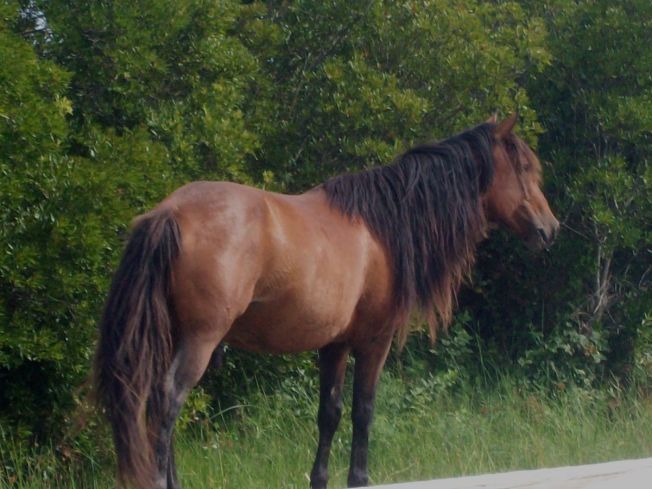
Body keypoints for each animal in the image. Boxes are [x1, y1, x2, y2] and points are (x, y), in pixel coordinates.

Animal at [94, 113, 559, 489]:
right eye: (522, 167)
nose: (550, 228)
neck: (381, 227)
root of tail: (169, 213)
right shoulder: (374, 342)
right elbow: (363, 411)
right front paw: (359, 478)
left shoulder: (334, 344)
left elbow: (329, 413)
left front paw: (320, 478)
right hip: (199, 341)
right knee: (167, 401)